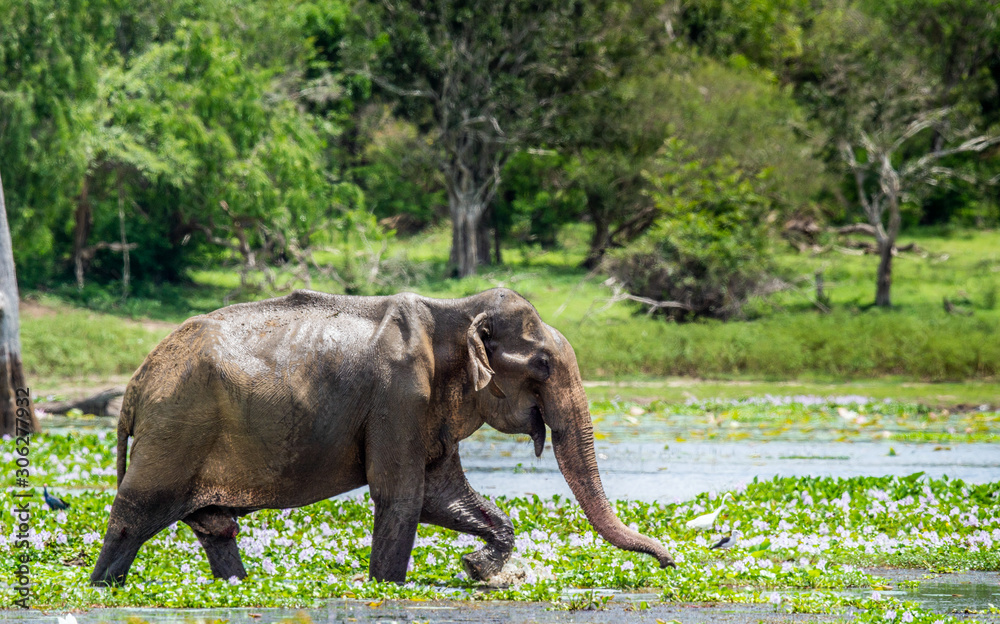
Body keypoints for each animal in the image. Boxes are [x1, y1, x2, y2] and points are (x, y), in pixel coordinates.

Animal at [90, 287, 674, 586]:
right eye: (543, 365)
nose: (671, 562)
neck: (454, 309)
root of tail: (139, 380)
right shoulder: (399, 398)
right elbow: (403, 498)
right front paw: (393, 585)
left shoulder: (425, 409)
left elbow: (442, 497)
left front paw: (479, 568)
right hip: (176, 430)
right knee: (134, 516)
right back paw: (103, 584)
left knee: (215, 529)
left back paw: (236, 584)